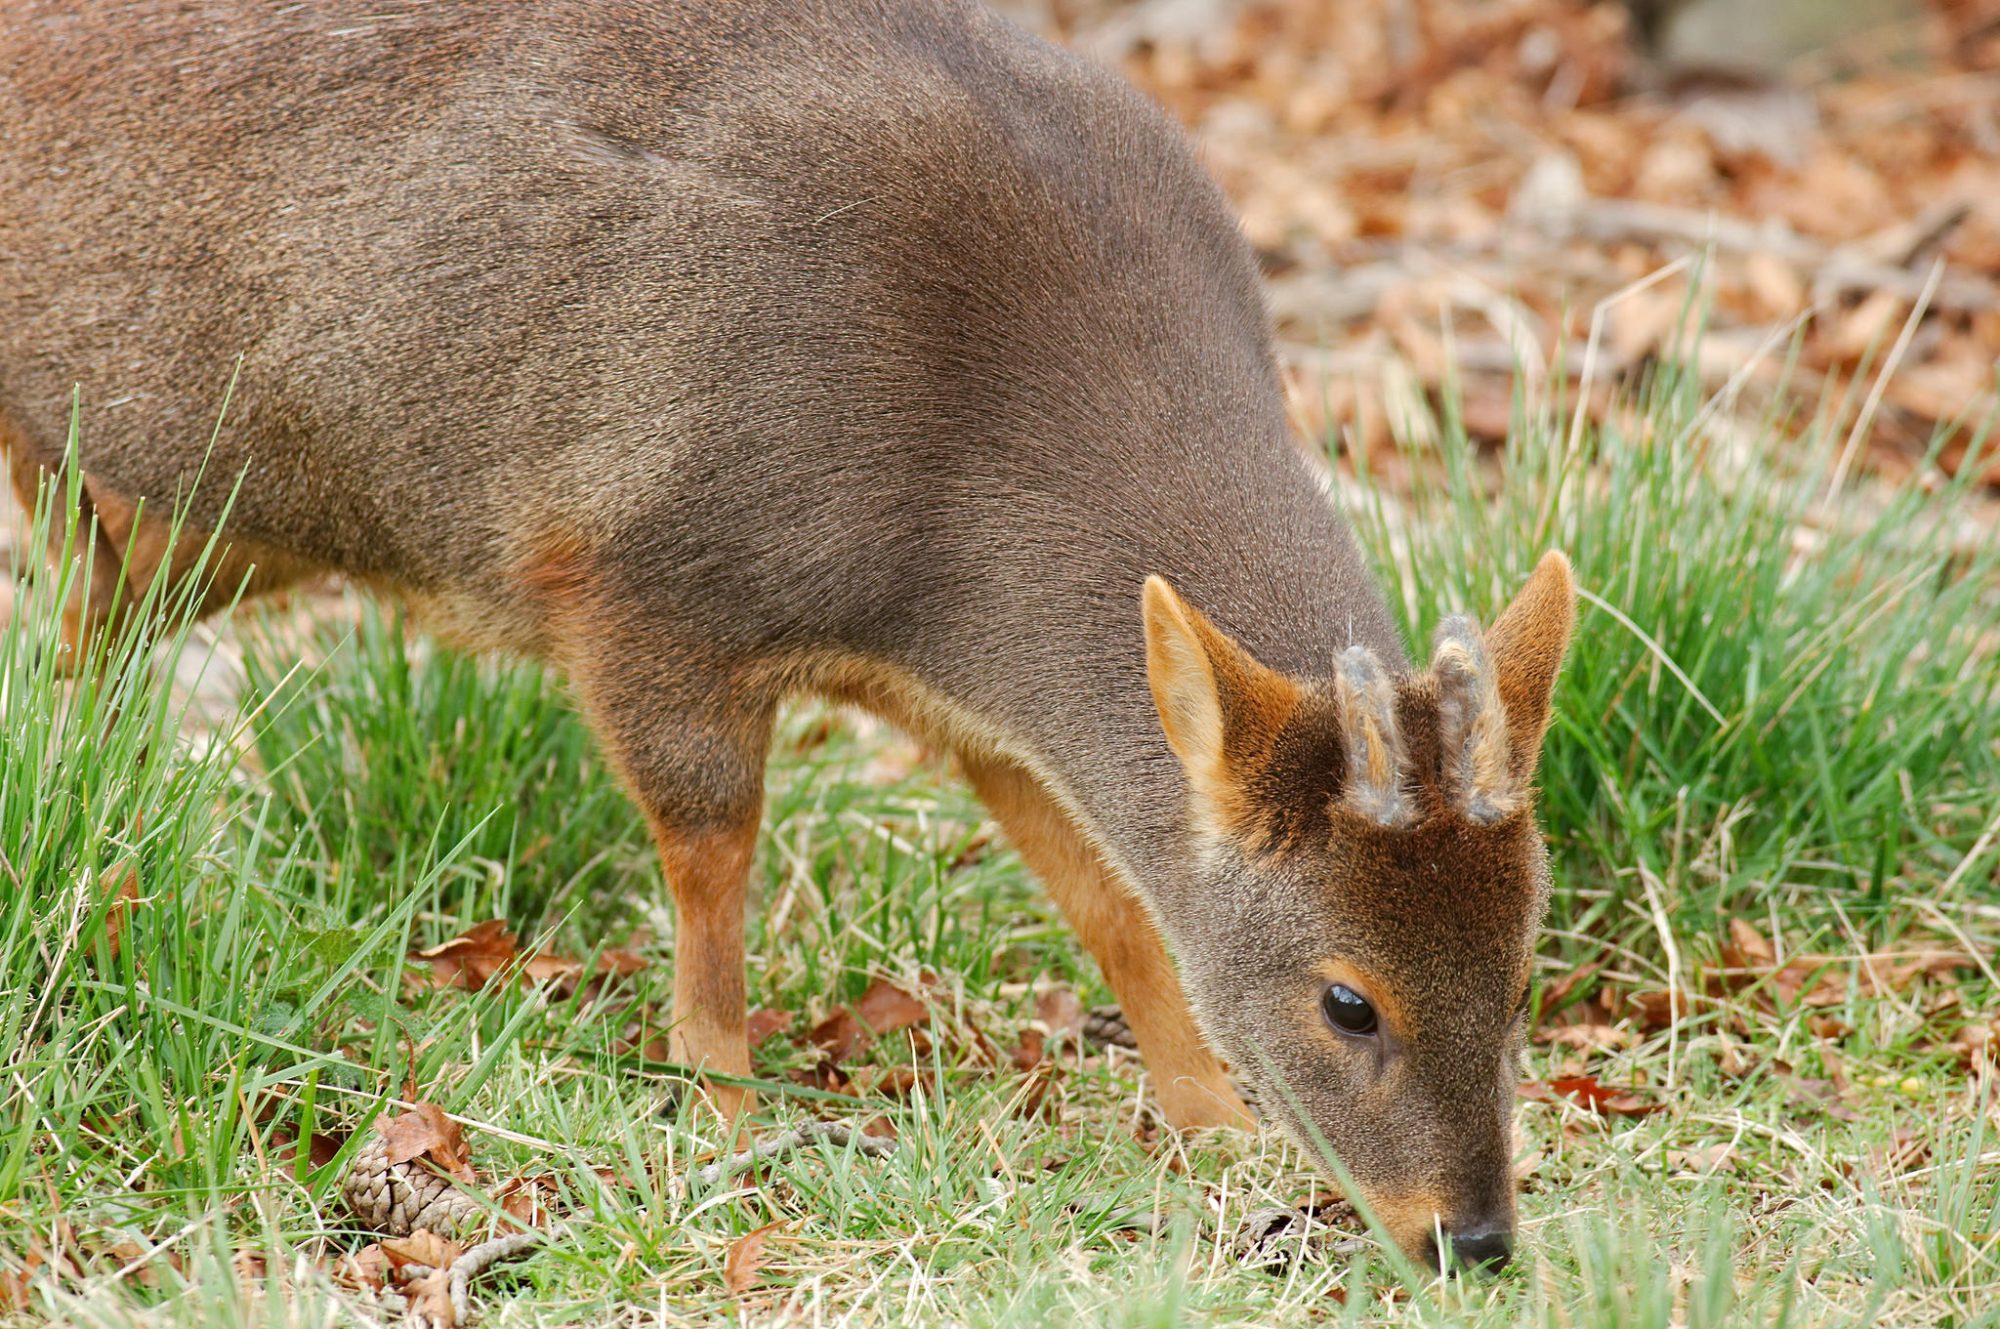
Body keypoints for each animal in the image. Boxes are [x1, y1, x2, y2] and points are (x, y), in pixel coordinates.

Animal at [0, 0, 1575, 1272]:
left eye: (1522, 970)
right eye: (1347, 1000)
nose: (1472, 1238)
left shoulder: (960, 689)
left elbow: (1106, 893)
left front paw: (1210, 1123)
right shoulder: (639, 588)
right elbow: (712, 865)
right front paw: (724, 1121)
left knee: (80, 650)